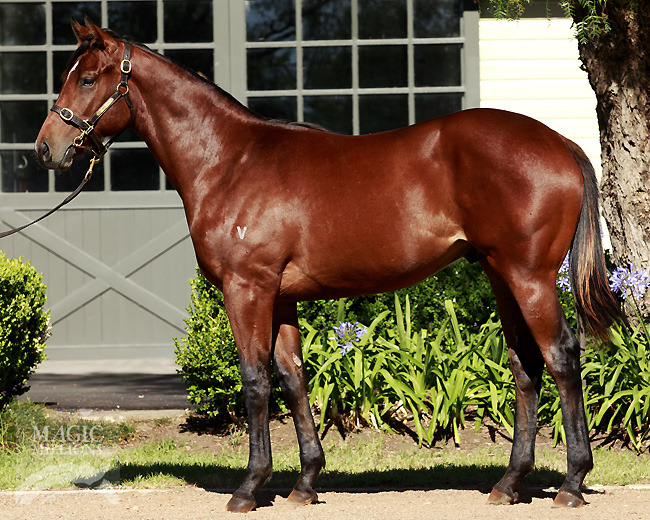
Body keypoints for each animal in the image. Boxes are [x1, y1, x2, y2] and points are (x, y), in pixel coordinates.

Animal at [35, 19, 623, 512]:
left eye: (86, 78)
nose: (46, 149)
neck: (229, 162)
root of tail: (560, 143)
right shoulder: (280, 297)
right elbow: (293, 380)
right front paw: (305, 483)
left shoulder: (246, 289)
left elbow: (255, 381)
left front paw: (249, 488)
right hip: (502, 275)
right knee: (525, 365)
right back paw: (508, 484)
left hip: (529, 278)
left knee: (562, 357)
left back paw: (571, 484)